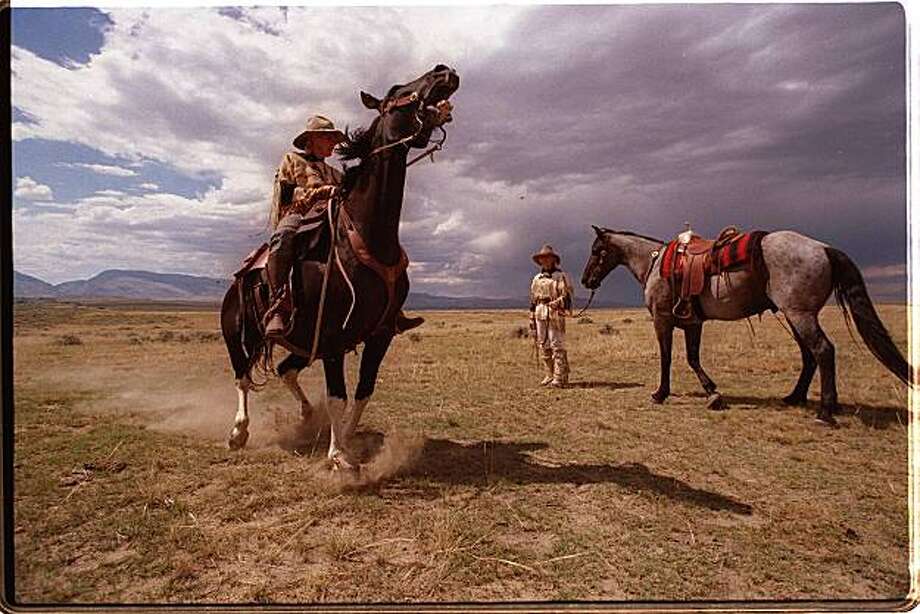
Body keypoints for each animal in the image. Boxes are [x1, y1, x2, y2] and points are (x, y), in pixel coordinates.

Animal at [220, 65, 460, 469]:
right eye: (398, 90)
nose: (444, 71)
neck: (367, 234)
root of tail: (241, 277)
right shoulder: (332, 336)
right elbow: (338, 396)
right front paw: (339, 456)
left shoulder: (380, 334)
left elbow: (363, 392)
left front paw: (344, 441)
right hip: (239, 333)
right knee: (241, 377)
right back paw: (238, 433)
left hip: (301, 345)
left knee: (284, 371)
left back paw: (305, 417)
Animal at [580, 226, 912, 425]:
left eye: (596, 250)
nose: (585, 280)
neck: (656, 264)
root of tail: (824, 249)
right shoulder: (692, 322)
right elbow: (692, 358)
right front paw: (713, 394)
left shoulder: (663, 319)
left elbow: (667, 357)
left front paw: (661, 393)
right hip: (796, 315)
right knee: (809, 355)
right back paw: (794, 398)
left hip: (800, 314)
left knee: (823, 350)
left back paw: (825, 411)